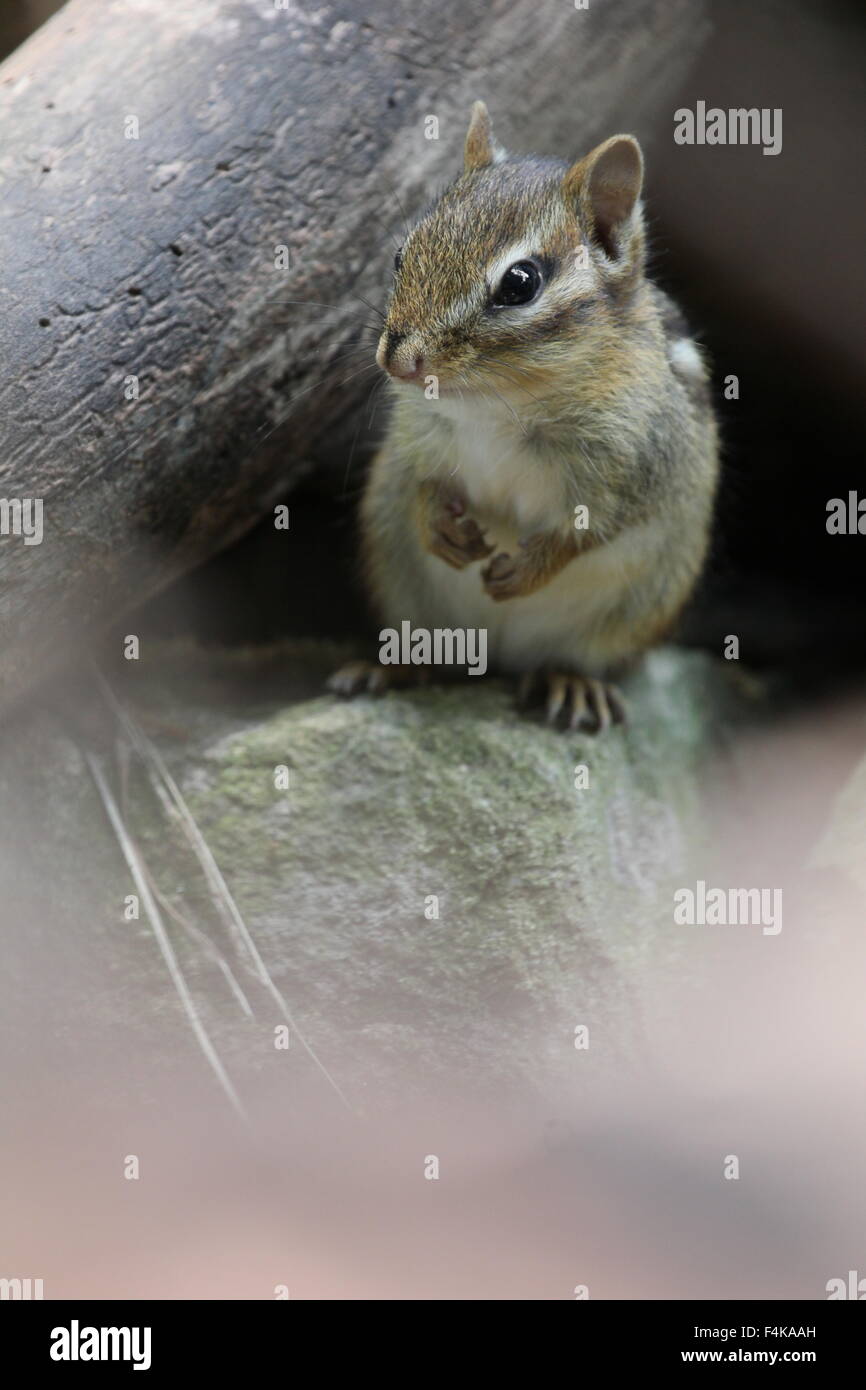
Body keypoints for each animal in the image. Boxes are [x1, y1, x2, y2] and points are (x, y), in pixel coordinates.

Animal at [329, 102, 719, 731]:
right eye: (400, 254)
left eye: (520, 282)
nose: (399, 361)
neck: (498, 401)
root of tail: (497, 658)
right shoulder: (418, 436)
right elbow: (422, 483)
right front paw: (442, 527)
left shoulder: (640, 462)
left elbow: (592, 530)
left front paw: (529, 568)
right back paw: (391, 670)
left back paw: (571, 682)